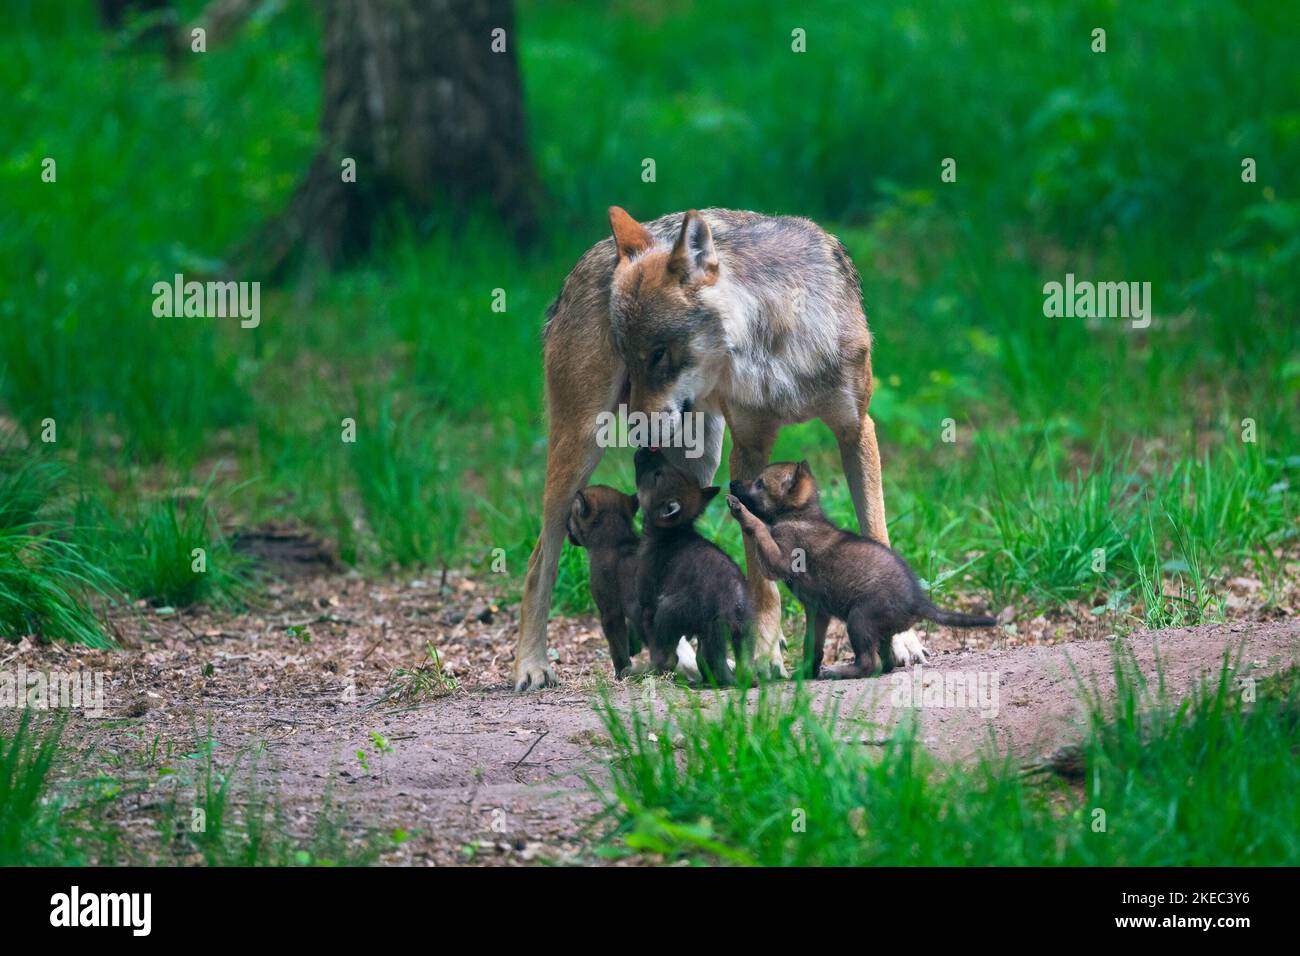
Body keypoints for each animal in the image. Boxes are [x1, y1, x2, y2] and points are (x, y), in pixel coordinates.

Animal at [514, 207, 915, 691]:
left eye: (658, 354)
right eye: (627, 356)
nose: (637, 436)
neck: (777, 337)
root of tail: (582, 262)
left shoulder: (856, 430)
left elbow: (877, 533)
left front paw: (902, 639)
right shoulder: (749, 448)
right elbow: (760, 577)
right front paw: (764, 655)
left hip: (695, 460)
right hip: (582, 448)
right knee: (540, 560)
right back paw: (533, 666)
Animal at [727, 461, 995, 678]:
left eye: (760, 483)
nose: (732, 482)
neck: (800, 515)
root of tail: (919, 601)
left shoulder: (779, 562)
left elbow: (759, 528)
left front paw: (741, 511)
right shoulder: (818, 612)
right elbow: (811, 646)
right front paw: (805, 674)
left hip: (858, 618)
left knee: (869, 663)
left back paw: (838, 672)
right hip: (881, 630)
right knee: (886, 661)